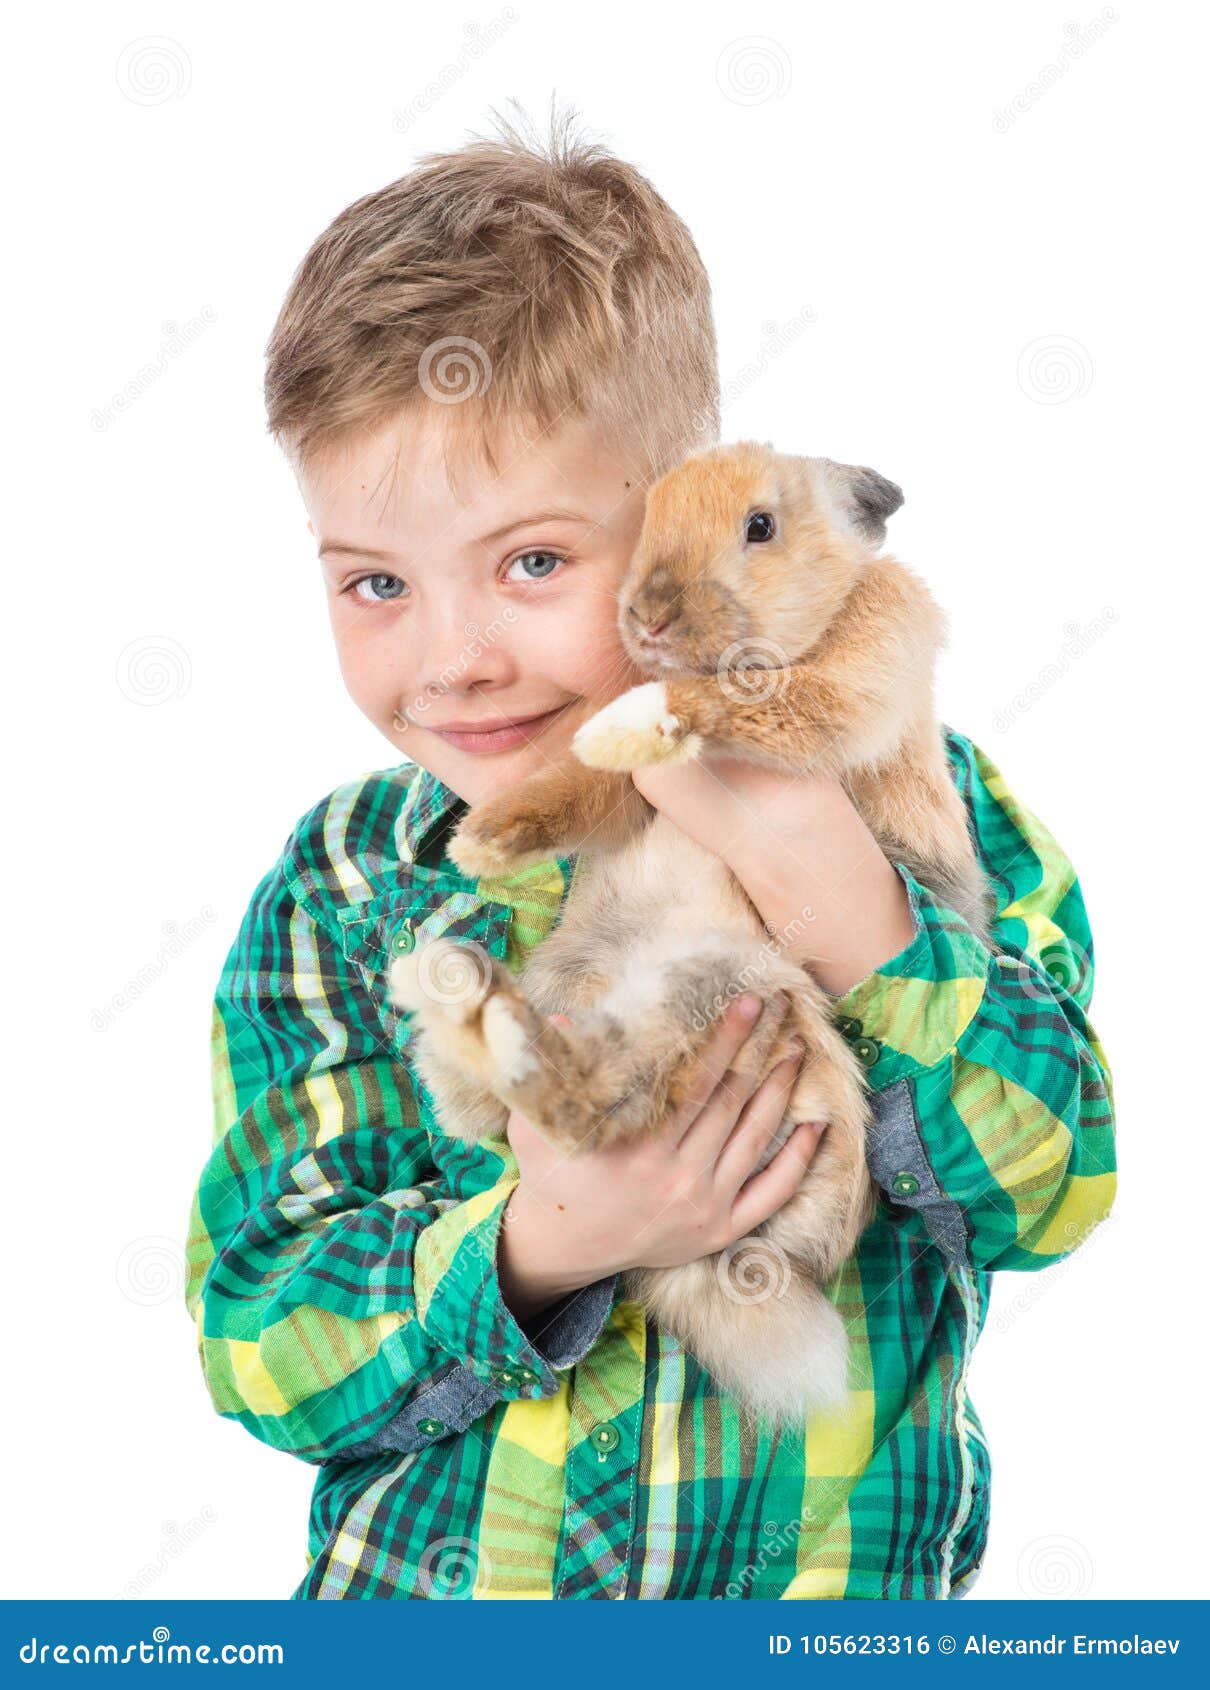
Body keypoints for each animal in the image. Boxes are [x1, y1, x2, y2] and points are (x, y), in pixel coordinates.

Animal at [388, 440, 993, 1432]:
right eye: (651, 518)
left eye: (761, 526)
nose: (647, 616)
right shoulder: (623, 799)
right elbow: (579, 789)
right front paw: (487, 842)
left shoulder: (847, 679)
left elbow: (748, 700)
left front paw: (635, 722)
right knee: (486, 1110)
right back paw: (450, 992)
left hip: (719, 992)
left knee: (574, 1107)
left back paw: (482, 1017)